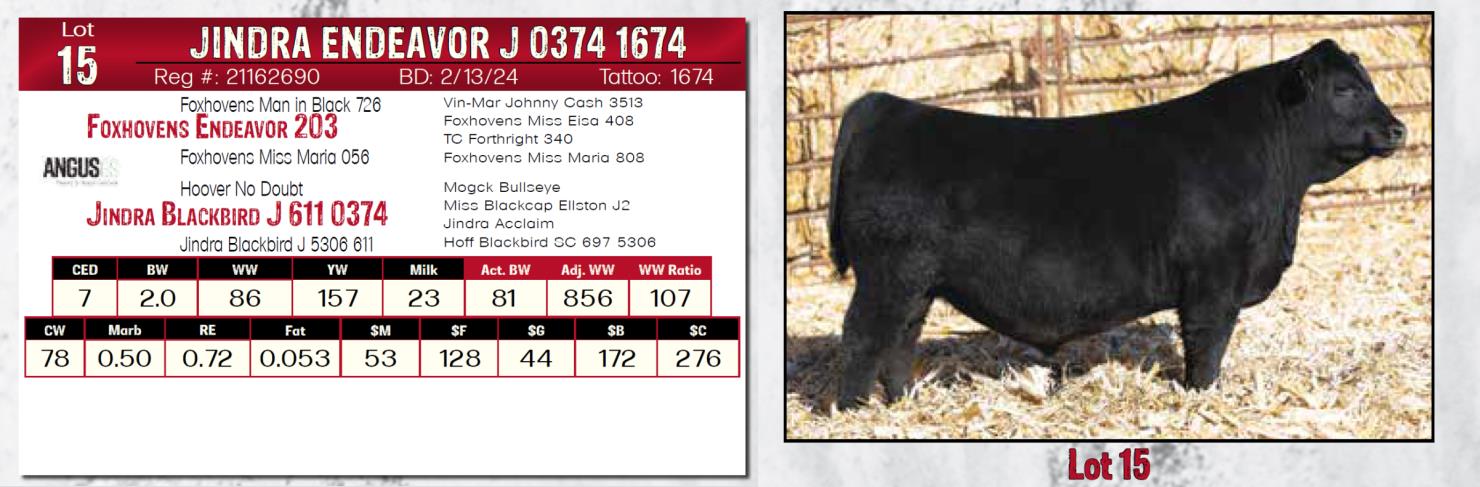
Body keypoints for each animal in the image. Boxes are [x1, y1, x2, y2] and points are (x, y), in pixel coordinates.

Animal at [828, 39, 1406, 408]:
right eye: (1344, 90)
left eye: (1369, 82)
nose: (1399, 129)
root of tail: (885, 106)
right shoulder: (1214, 278)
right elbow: (1207, 344)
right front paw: (1201, 397)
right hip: (887, 276)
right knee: (862, 338)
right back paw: (853, 412)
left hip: (917, 283)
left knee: (900, 339)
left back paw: (902, 402)